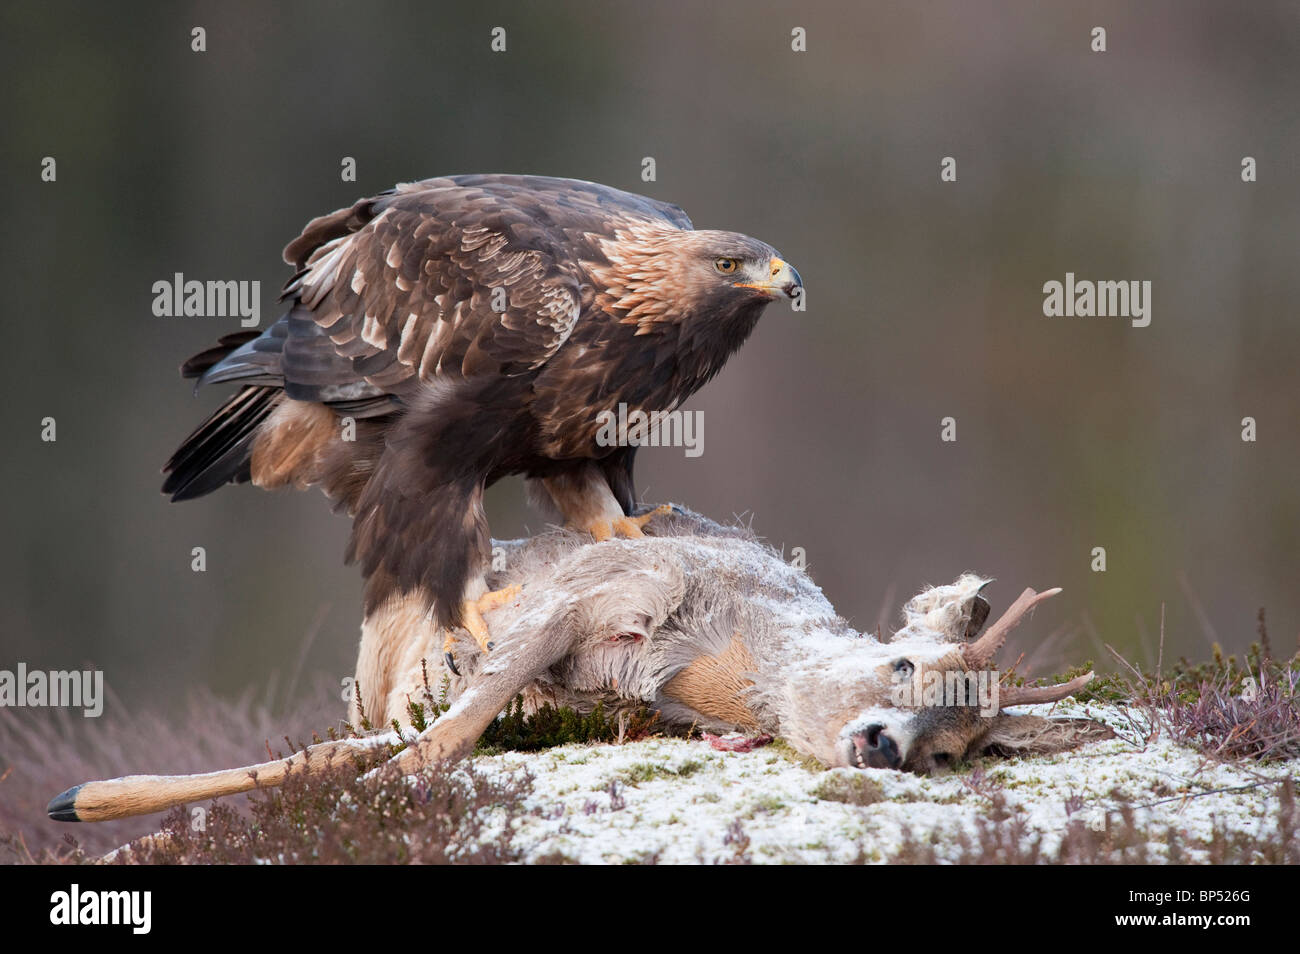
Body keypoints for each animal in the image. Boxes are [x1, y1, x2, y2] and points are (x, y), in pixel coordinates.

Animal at [47, 508, 1111, 824]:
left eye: (953, 754)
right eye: (903, 663)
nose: (888, 746)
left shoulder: (596, 703)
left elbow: (432, 742)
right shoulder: (589, 594)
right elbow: (443, 739)